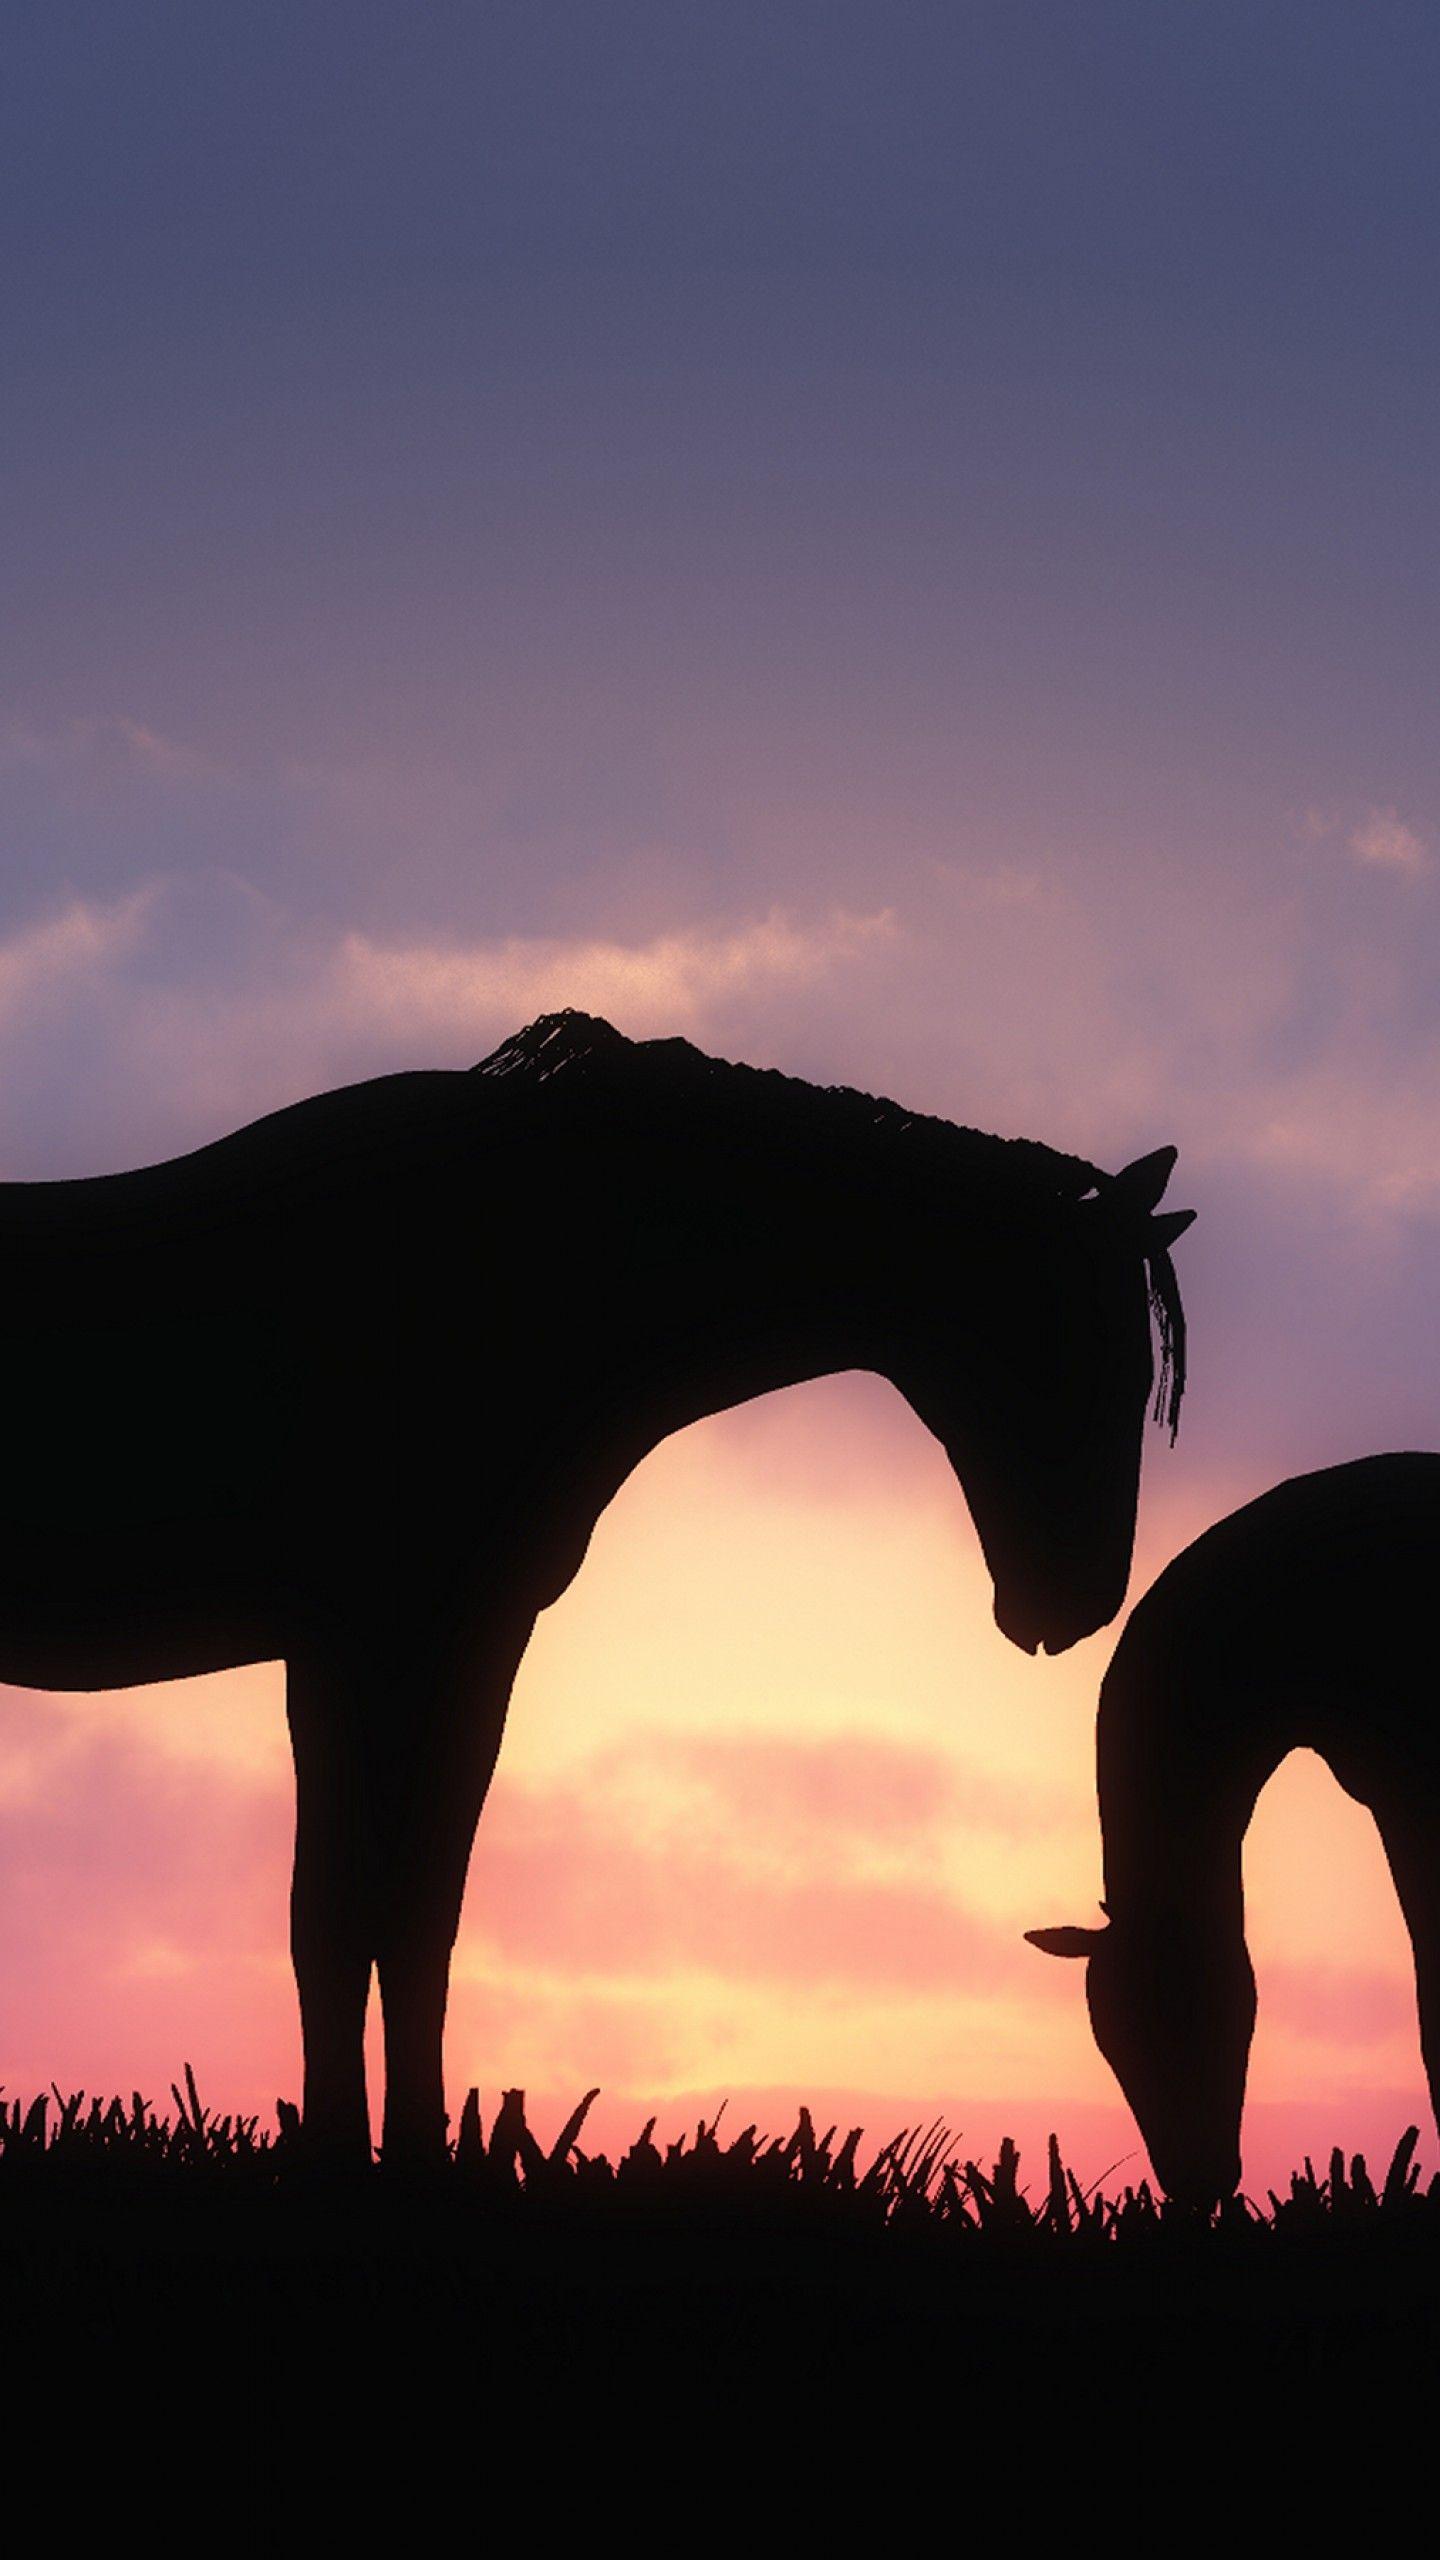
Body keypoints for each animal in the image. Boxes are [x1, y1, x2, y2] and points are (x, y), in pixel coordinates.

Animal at [0, 1008, 1192, 2162]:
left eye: (1145, 1370)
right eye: (1074, 1348)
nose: (1080, 1603)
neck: (538, 1266)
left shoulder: (440, 1641)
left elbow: (412, 1907)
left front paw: (413, 2146)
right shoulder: (371, 1641)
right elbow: (346, 1912)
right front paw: (354, 2149)